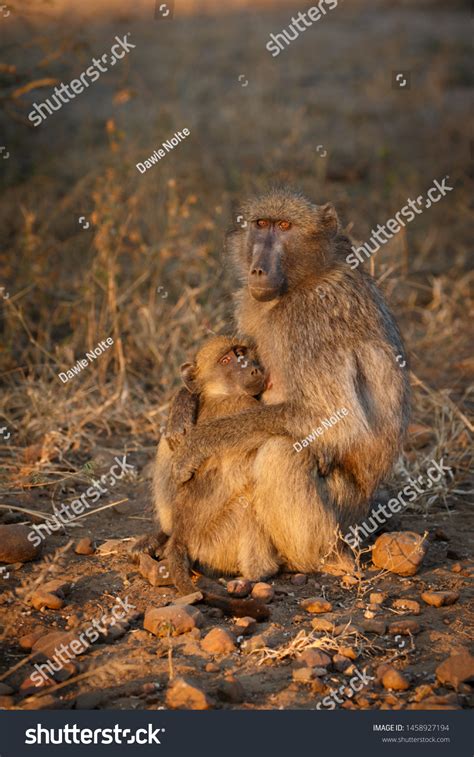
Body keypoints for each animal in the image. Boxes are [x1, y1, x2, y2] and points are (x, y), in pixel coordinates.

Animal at [171, 188, 411, 574]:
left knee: (282, 451)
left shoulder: (313, 316)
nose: (258, 268)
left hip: (346, 513)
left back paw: (324, 561)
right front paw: (182, 404)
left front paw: (197, 443)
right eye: (261, 224)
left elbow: (331, 417)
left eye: (284, 226)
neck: (305, 278)